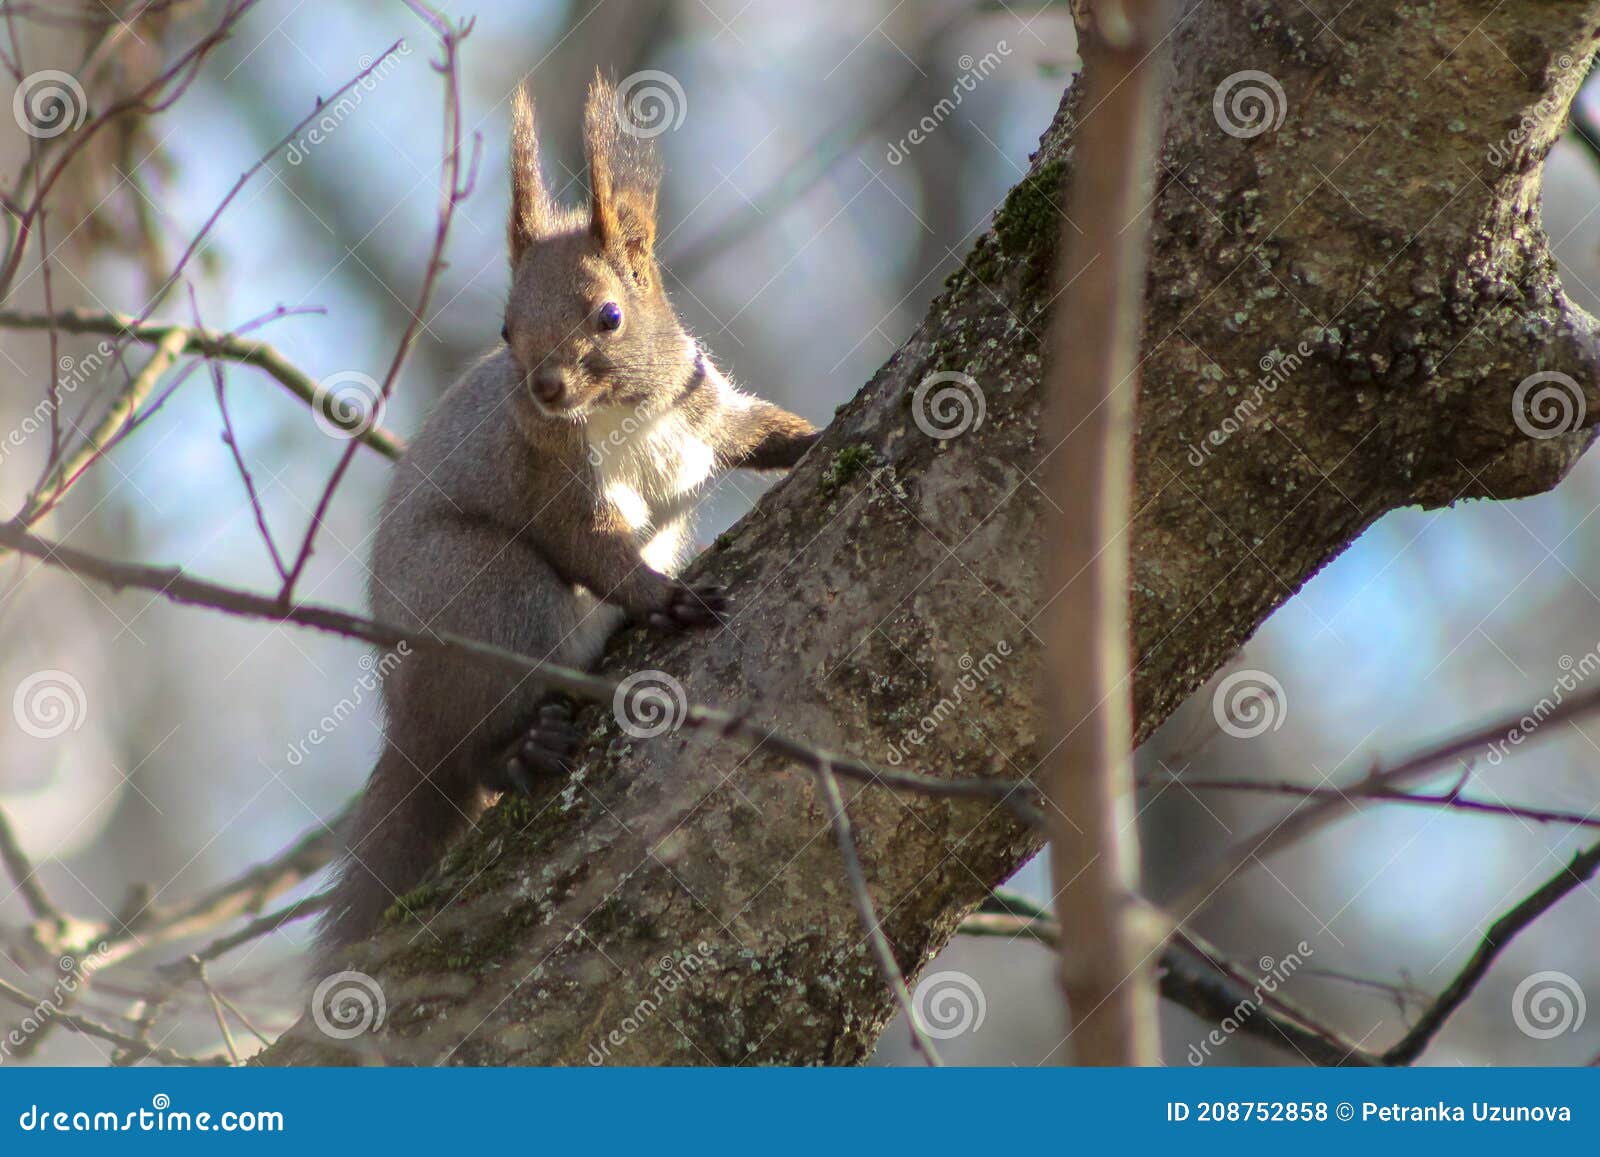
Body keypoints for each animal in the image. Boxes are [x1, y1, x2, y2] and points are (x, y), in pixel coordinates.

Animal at [313, 74, 819, 968]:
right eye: (506, 330)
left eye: (610, 316)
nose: (544, 387)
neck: (625, 412)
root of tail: (405, 719)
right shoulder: (550, 476)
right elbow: (594, 549)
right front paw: (663, 596)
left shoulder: (702, 409)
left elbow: (754, 430)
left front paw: (810, 436)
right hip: (492, 599)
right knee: (473, 754)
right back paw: (524, 749)